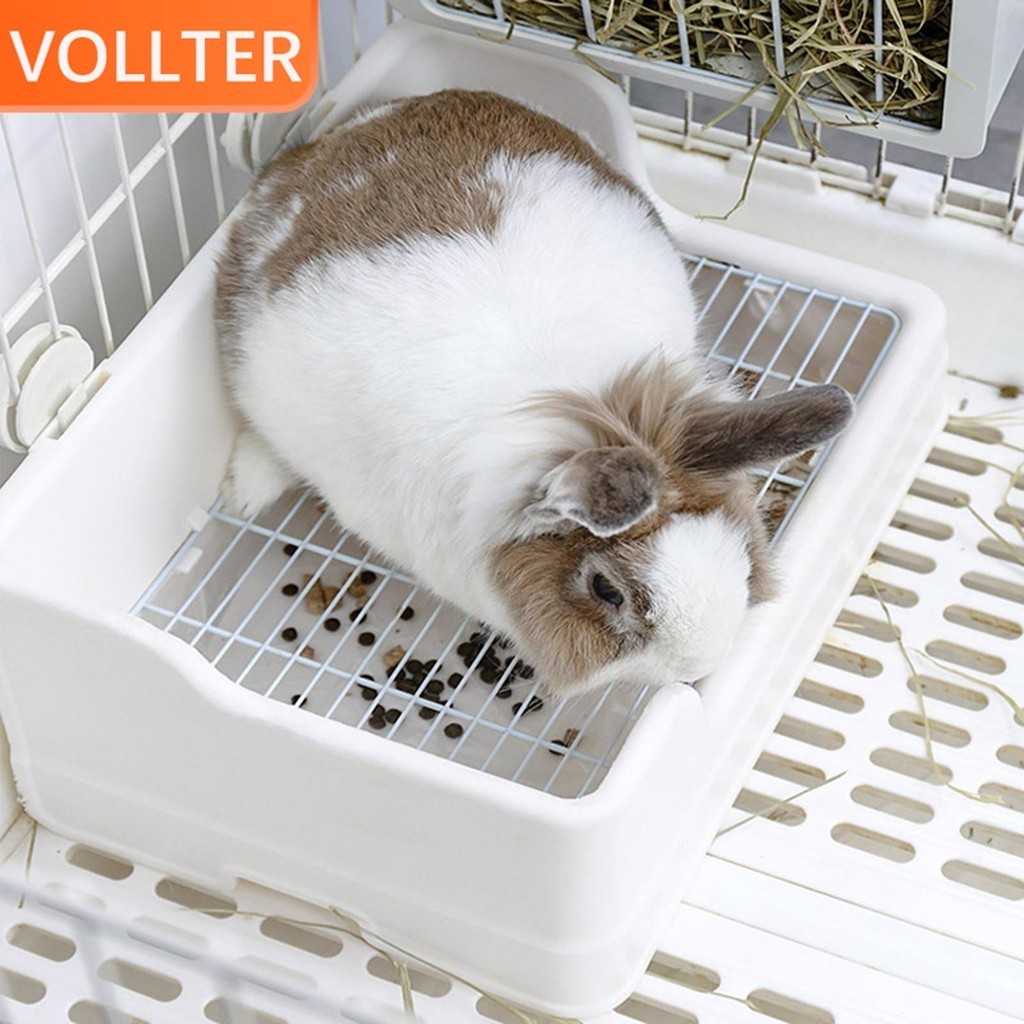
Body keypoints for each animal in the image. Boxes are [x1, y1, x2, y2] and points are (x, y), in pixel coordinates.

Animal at [215, 89, 853, 697]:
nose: (699, 664)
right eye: (607, 590)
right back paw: (245, 490)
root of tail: (343, 135)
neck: (571, 411)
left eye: (739, 546)